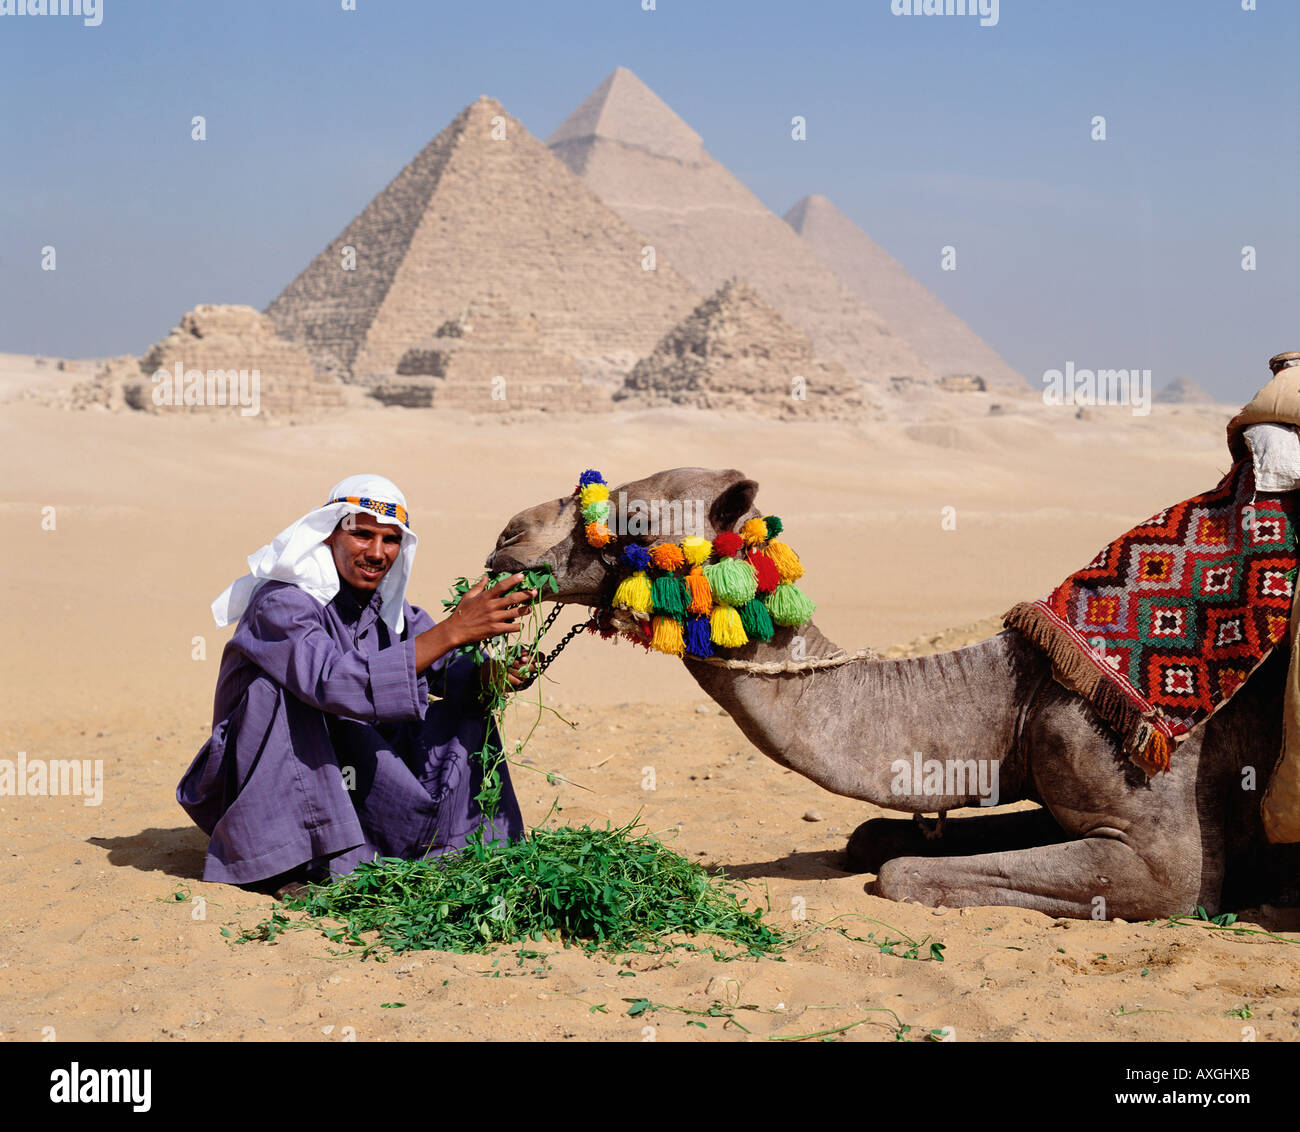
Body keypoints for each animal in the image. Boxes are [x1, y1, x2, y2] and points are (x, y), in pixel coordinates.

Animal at [486, 467, 1300, 920]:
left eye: (635, 517)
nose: (506, 536)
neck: (1017, 690)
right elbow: (878, 838)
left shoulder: (1163, 850)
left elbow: (902, 872)